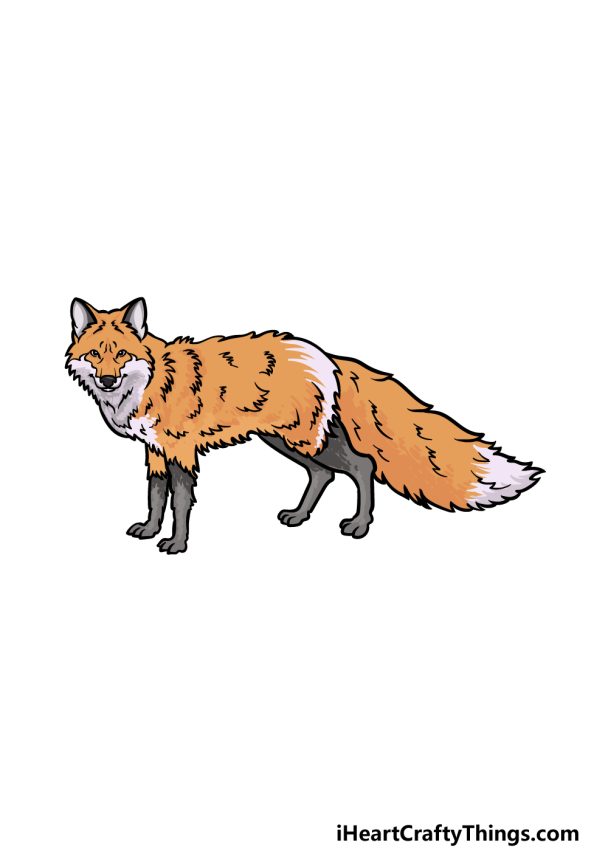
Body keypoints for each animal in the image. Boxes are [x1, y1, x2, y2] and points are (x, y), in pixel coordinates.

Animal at [66, 297, 543, 554]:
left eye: (121, 354)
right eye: (95, 355)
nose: (106, 380)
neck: (148, 385)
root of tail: (326, 355)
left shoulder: (182, 451)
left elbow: (181, 503)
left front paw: (177, 544)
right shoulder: (155, 451)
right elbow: (155, 496)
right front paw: (149, 531)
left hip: (303, 439)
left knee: (362, 466)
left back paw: (359, 525)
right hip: (285, 441)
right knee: (324, 474)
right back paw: (299, 516)